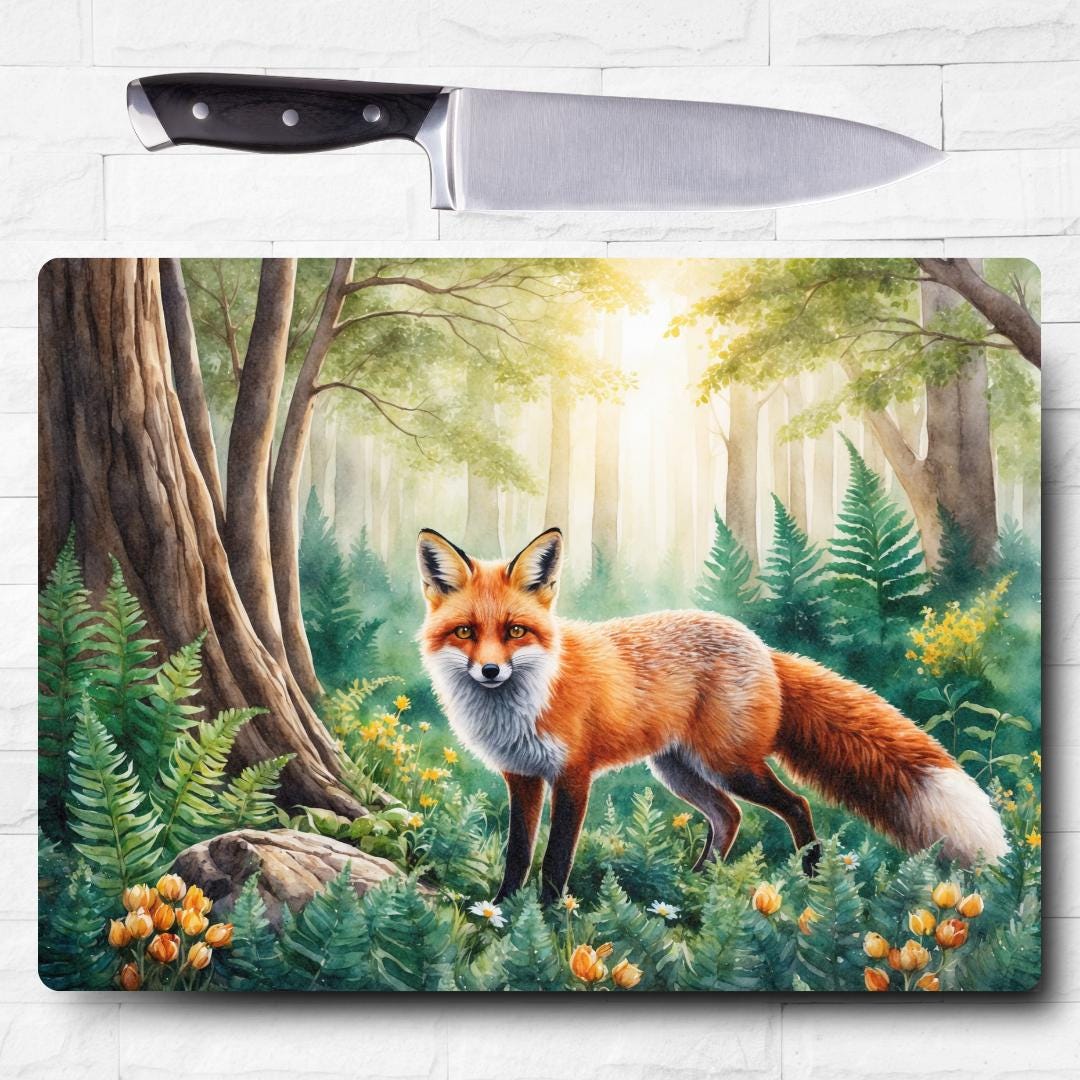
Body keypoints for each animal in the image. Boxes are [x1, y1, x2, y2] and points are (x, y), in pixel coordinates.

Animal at [416, 525, 1008, 904]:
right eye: (466, 631)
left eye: (515, 630)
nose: (490, 671)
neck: (524, 701)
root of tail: (763, 646)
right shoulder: (521, 776)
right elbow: (518, 853)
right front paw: (501, 912)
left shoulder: (573, 775)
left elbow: (556, 860)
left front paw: (547, 918)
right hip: (679, 770)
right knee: (729, 817)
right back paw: (696, 888)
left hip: (728, 763)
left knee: (793, 805)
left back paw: (811, 882)